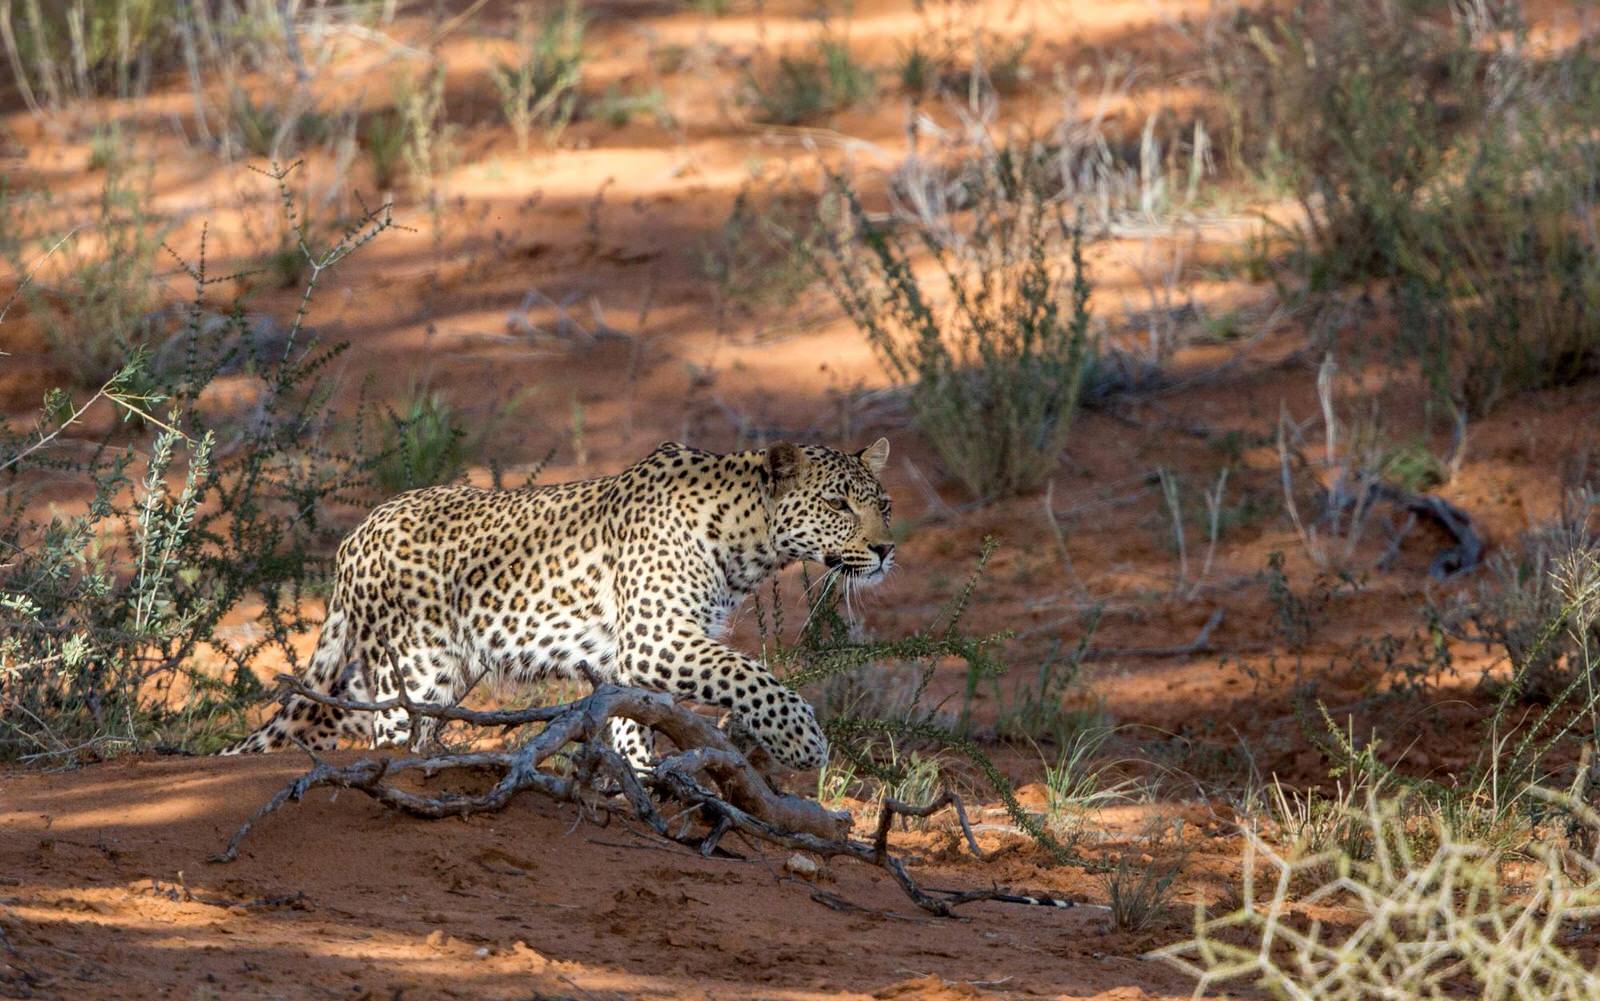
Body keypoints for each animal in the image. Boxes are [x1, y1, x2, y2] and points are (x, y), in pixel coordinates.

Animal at [220, 438, 896, 771]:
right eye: (837, 504)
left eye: (883, 504)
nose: (887, 548)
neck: (748, 538)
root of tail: (358, 532)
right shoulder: (657, 639)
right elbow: (752, 674)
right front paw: (804, 742)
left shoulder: (631, 661)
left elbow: (633, 725)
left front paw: (637, 781)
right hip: (416, 666)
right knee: (387, 735)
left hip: (417, 672)